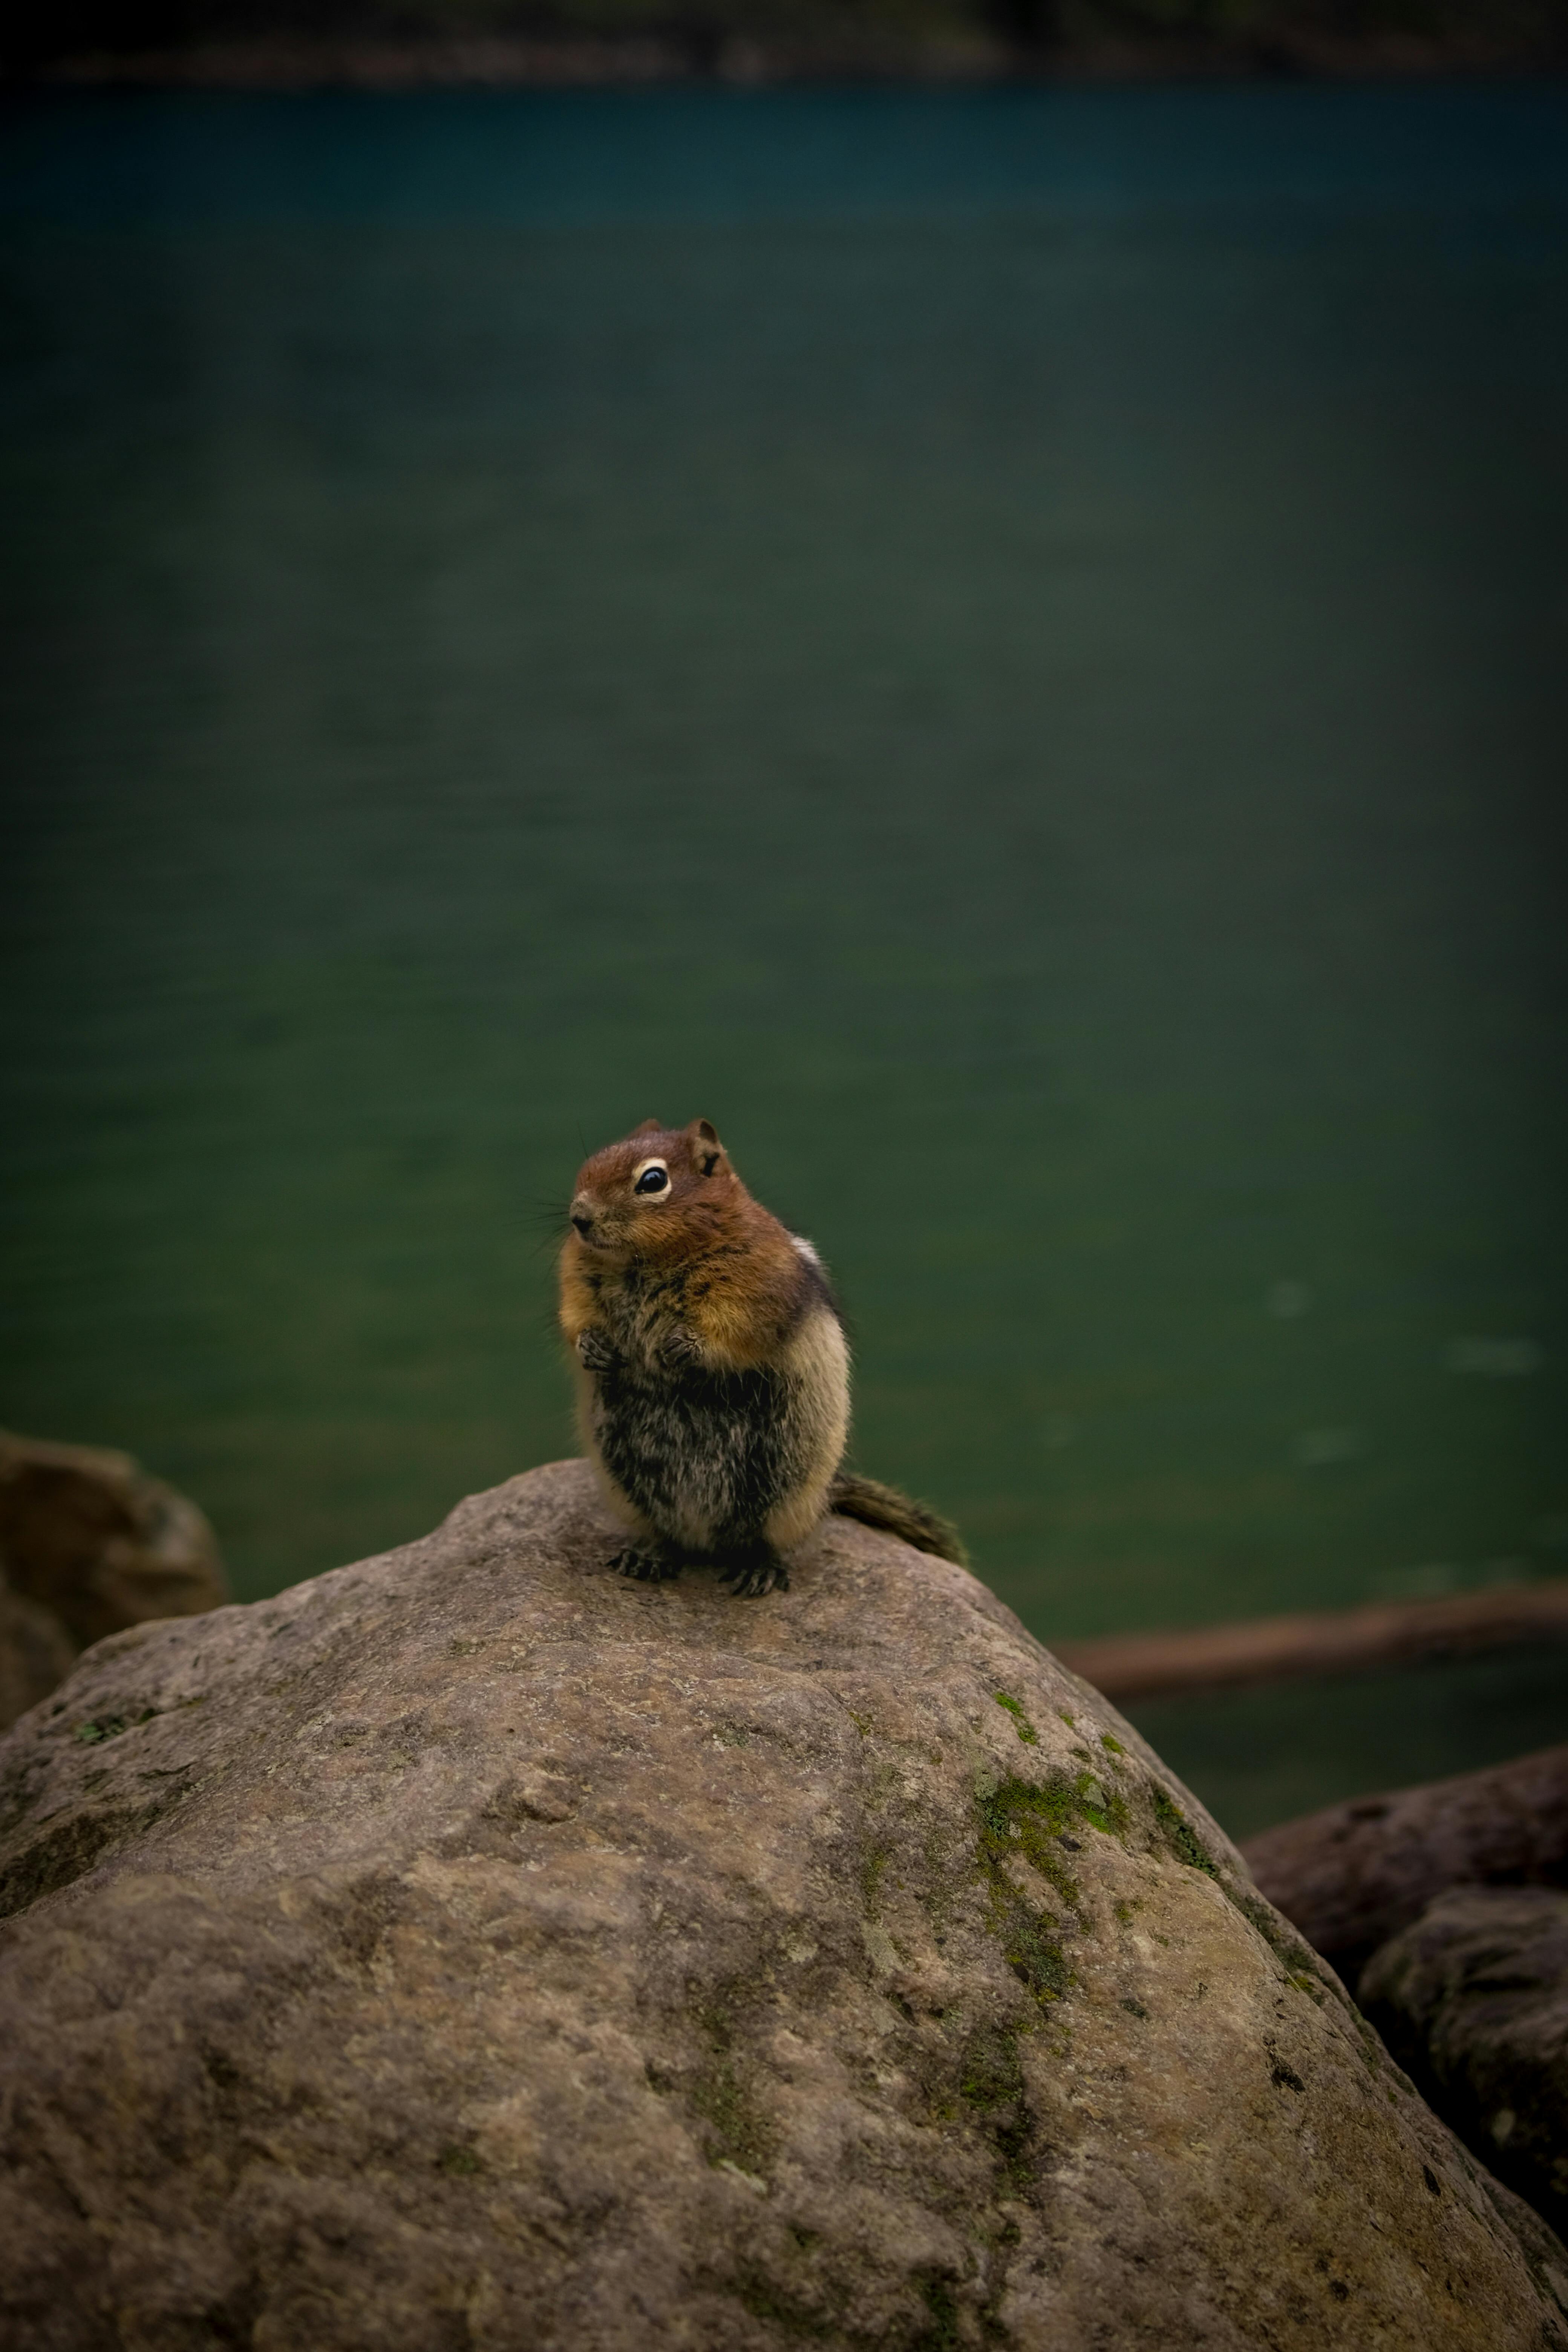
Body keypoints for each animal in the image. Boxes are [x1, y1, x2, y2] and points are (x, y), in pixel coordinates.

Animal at [559, 1117, 965, 1596]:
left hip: (784, 1490)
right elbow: (576, 1316)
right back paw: (649, 1555)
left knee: (764, 1540)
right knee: (664, 1534)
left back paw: (759, 1570)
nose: (579, 1218)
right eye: (592, 1163)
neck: (644, 1261)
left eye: (653, 1180)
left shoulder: (757, 1284)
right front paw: (592, 1346)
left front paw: (683, 1346)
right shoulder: (575, 1274)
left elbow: (738, 1331)